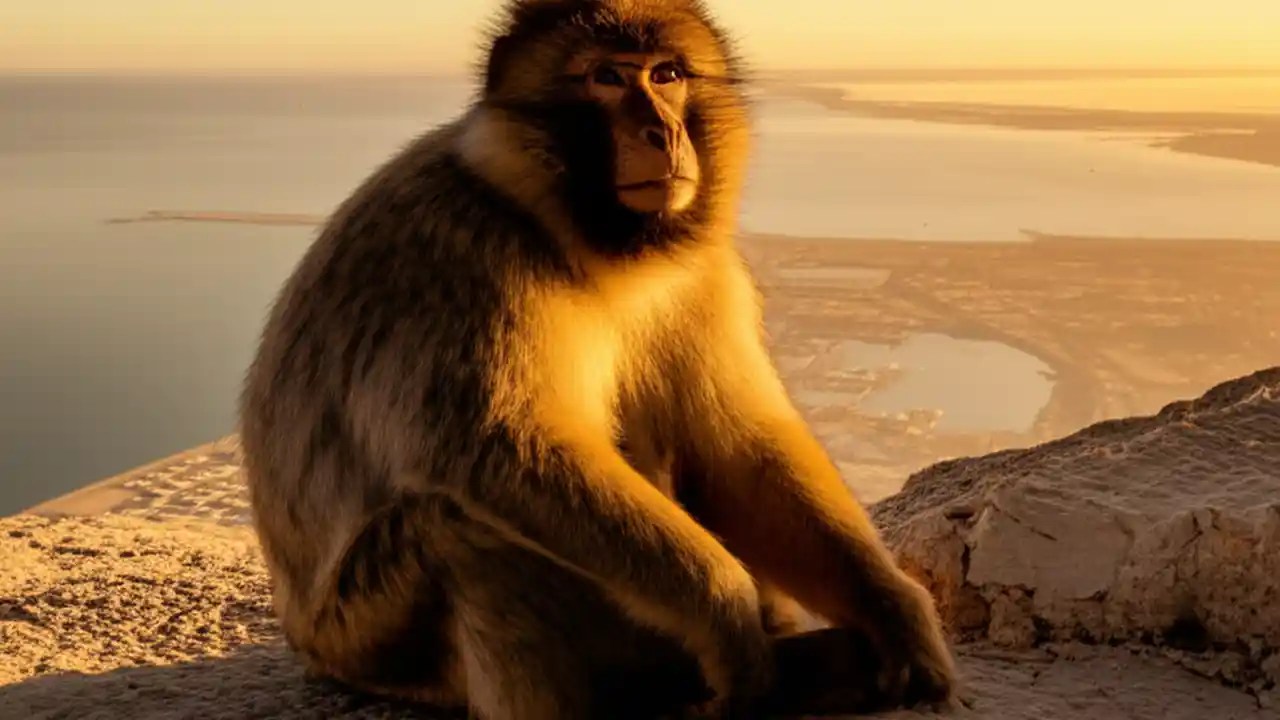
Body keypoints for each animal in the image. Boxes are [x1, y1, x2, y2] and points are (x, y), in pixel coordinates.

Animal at [238, 0, 957, 718]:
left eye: (666, 74)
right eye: (607, 78)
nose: (661, 131)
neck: (569, 233)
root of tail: (306, 638)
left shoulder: (703, 274)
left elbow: (733, 449)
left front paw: (896, 613)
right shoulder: (465, 255)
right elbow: (495, 443)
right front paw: (725, 607)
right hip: (367, 637)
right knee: (457, 529)